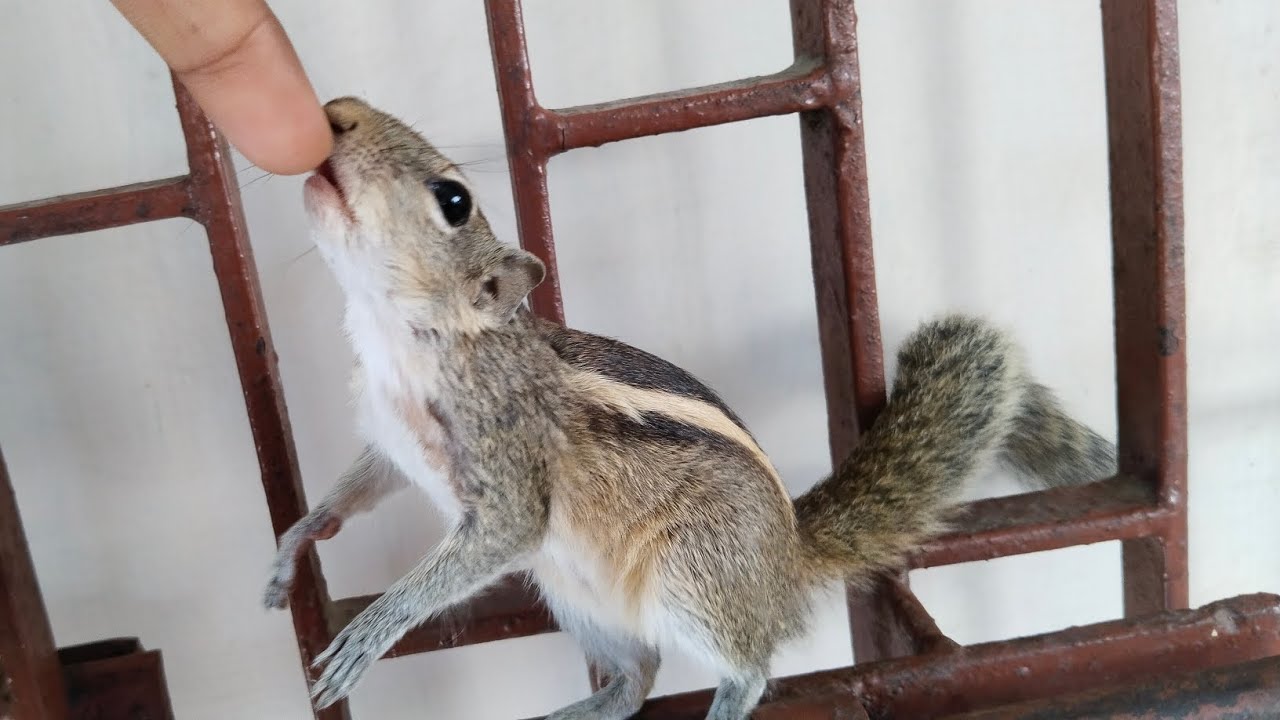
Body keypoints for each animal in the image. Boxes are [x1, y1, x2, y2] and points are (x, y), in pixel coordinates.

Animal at [263, 96, 1117, 720]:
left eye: (453, 199)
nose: (337, 110)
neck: (404, 340)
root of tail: (785, 561)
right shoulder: (390, 438)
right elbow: (358, 487)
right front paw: (297, 541)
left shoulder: (507, 465)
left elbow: (496, 533)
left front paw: (372, 630)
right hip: (576, 598)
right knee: (635, 679)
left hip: (693, 572)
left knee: (748, 667)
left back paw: (727, 696)